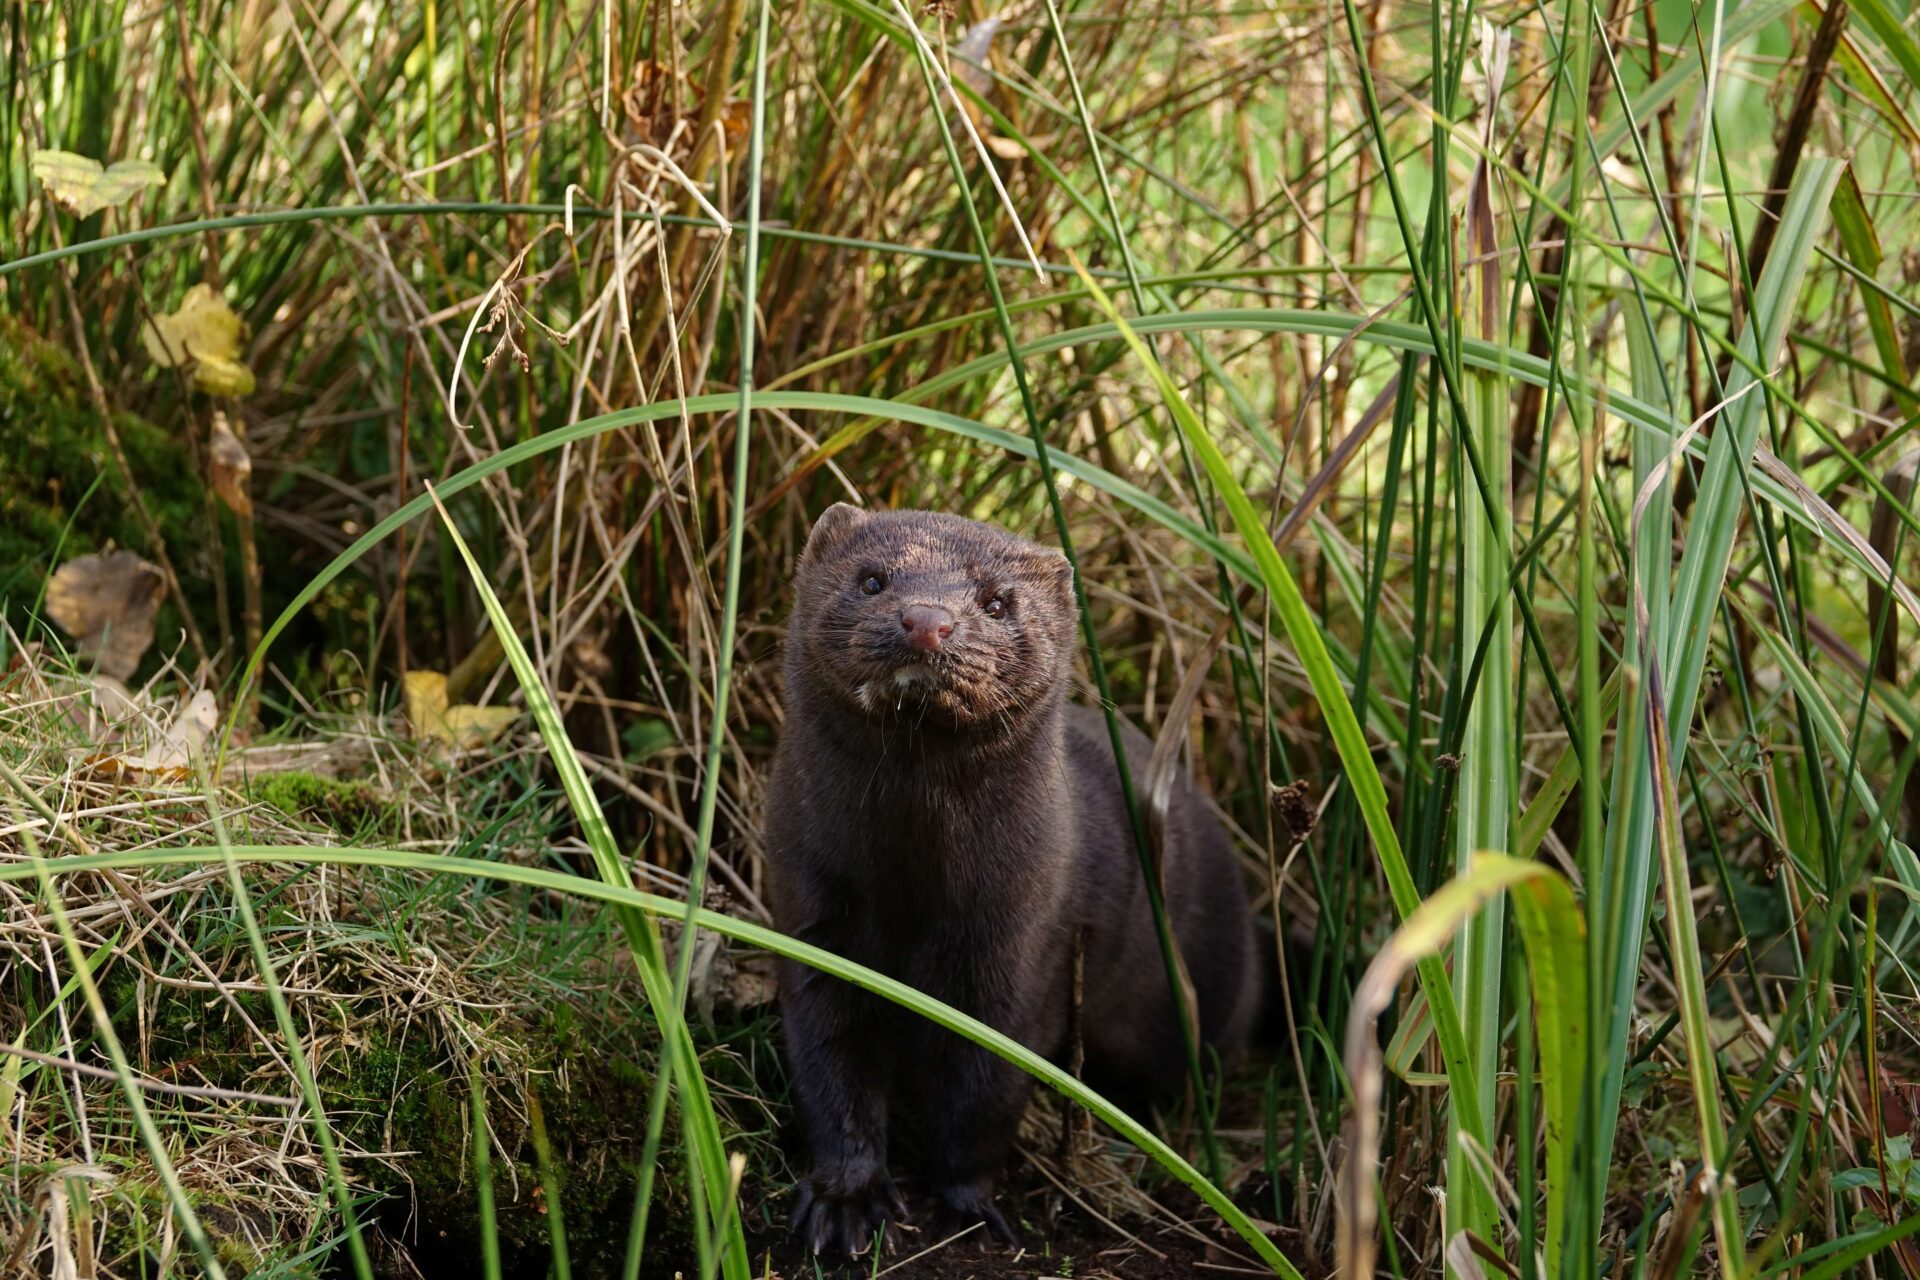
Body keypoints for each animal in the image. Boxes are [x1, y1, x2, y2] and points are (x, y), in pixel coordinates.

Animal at [764, 504, 1262, 1257]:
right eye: (873, 578)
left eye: (998, 602)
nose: (927, 621)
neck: (913, 881)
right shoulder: (811, 901)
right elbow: (830, 1064)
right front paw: (844, 1201)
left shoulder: (1021, 932)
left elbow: (985, 1083)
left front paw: (966, 1205)